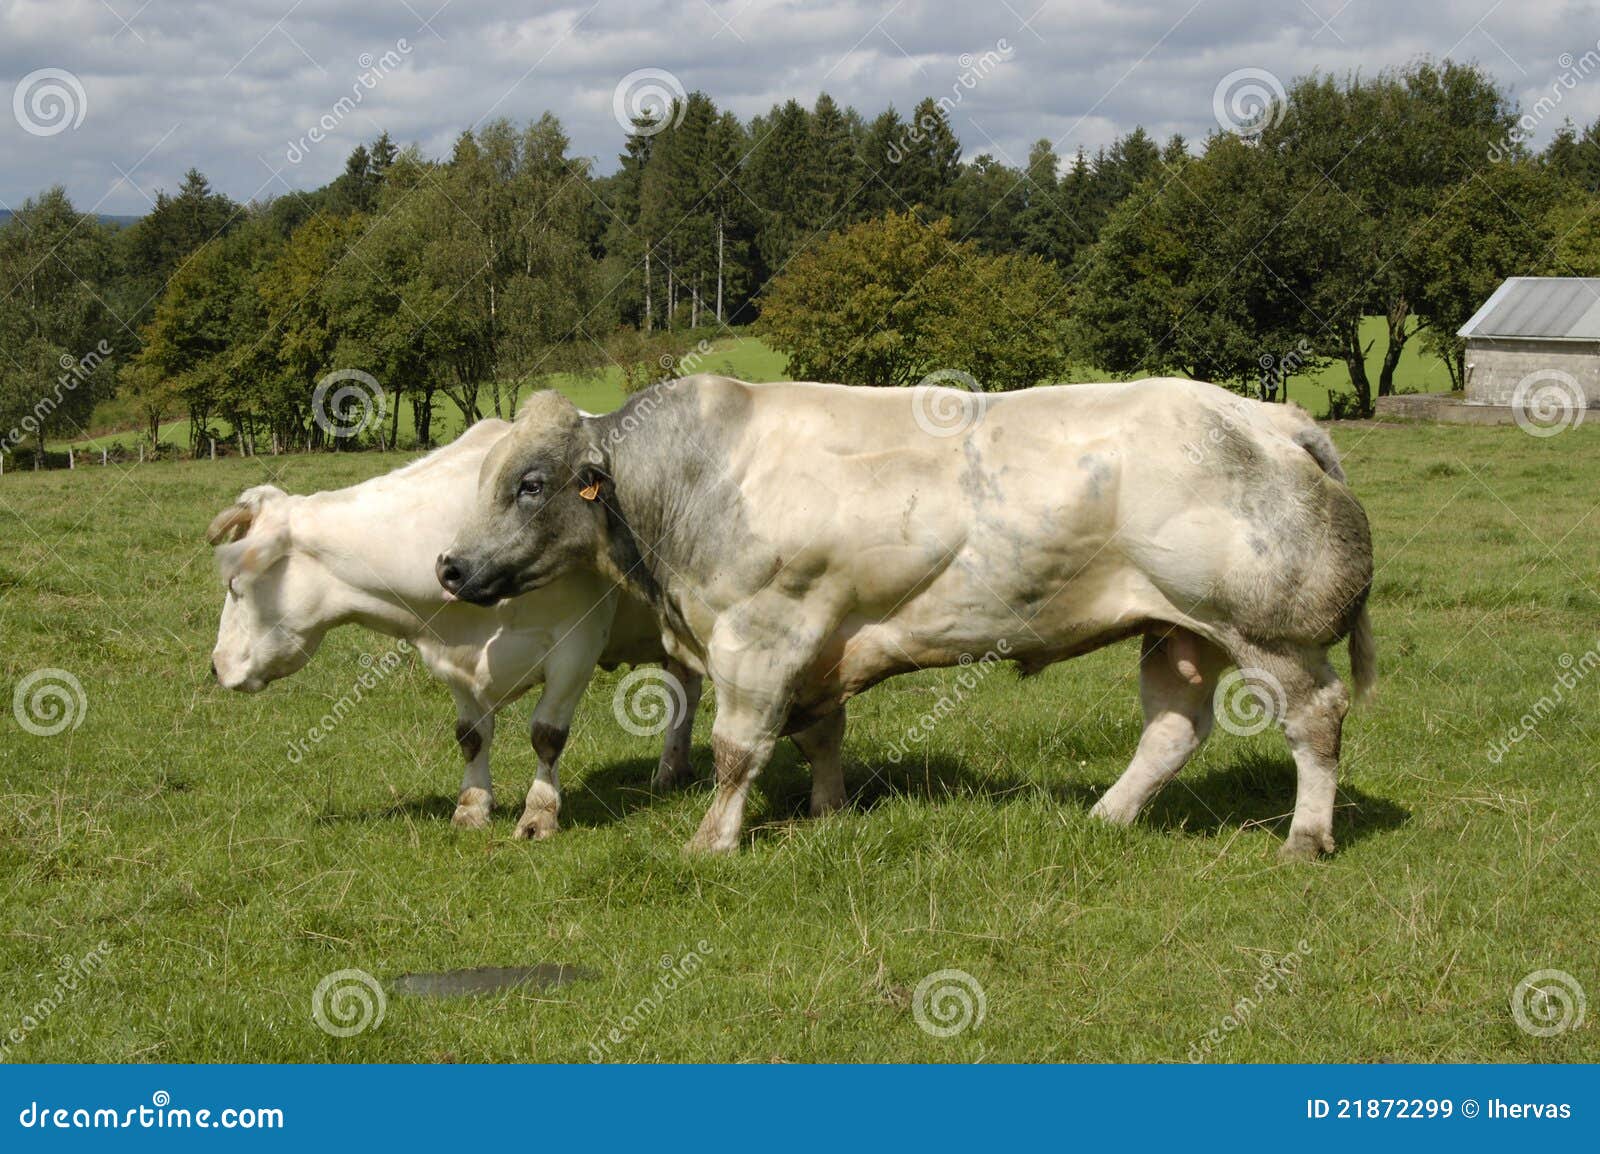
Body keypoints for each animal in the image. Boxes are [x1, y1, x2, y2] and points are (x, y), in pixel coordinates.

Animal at [208, 418, 702, 839]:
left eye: (234, 584)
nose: (215, 667)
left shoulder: (575, 646)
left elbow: (546, 735)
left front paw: (539, 814)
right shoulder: (450, 653)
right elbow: (471, 736)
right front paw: (472, 807)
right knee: (686, 688)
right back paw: (670, 771)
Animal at [436, 375, 1376, 860]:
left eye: (529, 483)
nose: (451, 566)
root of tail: (1265, 413)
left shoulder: (761, 631)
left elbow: (738, 750)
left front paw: (713, 839)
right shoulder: (817, 644)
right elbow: (820, 735)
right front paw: (826, 812)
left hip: (1271, 632)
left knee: (1317, 719)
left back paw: (1306, 837)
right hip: (1180, 632)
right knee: (1174, 729)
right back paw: (1107, 816)